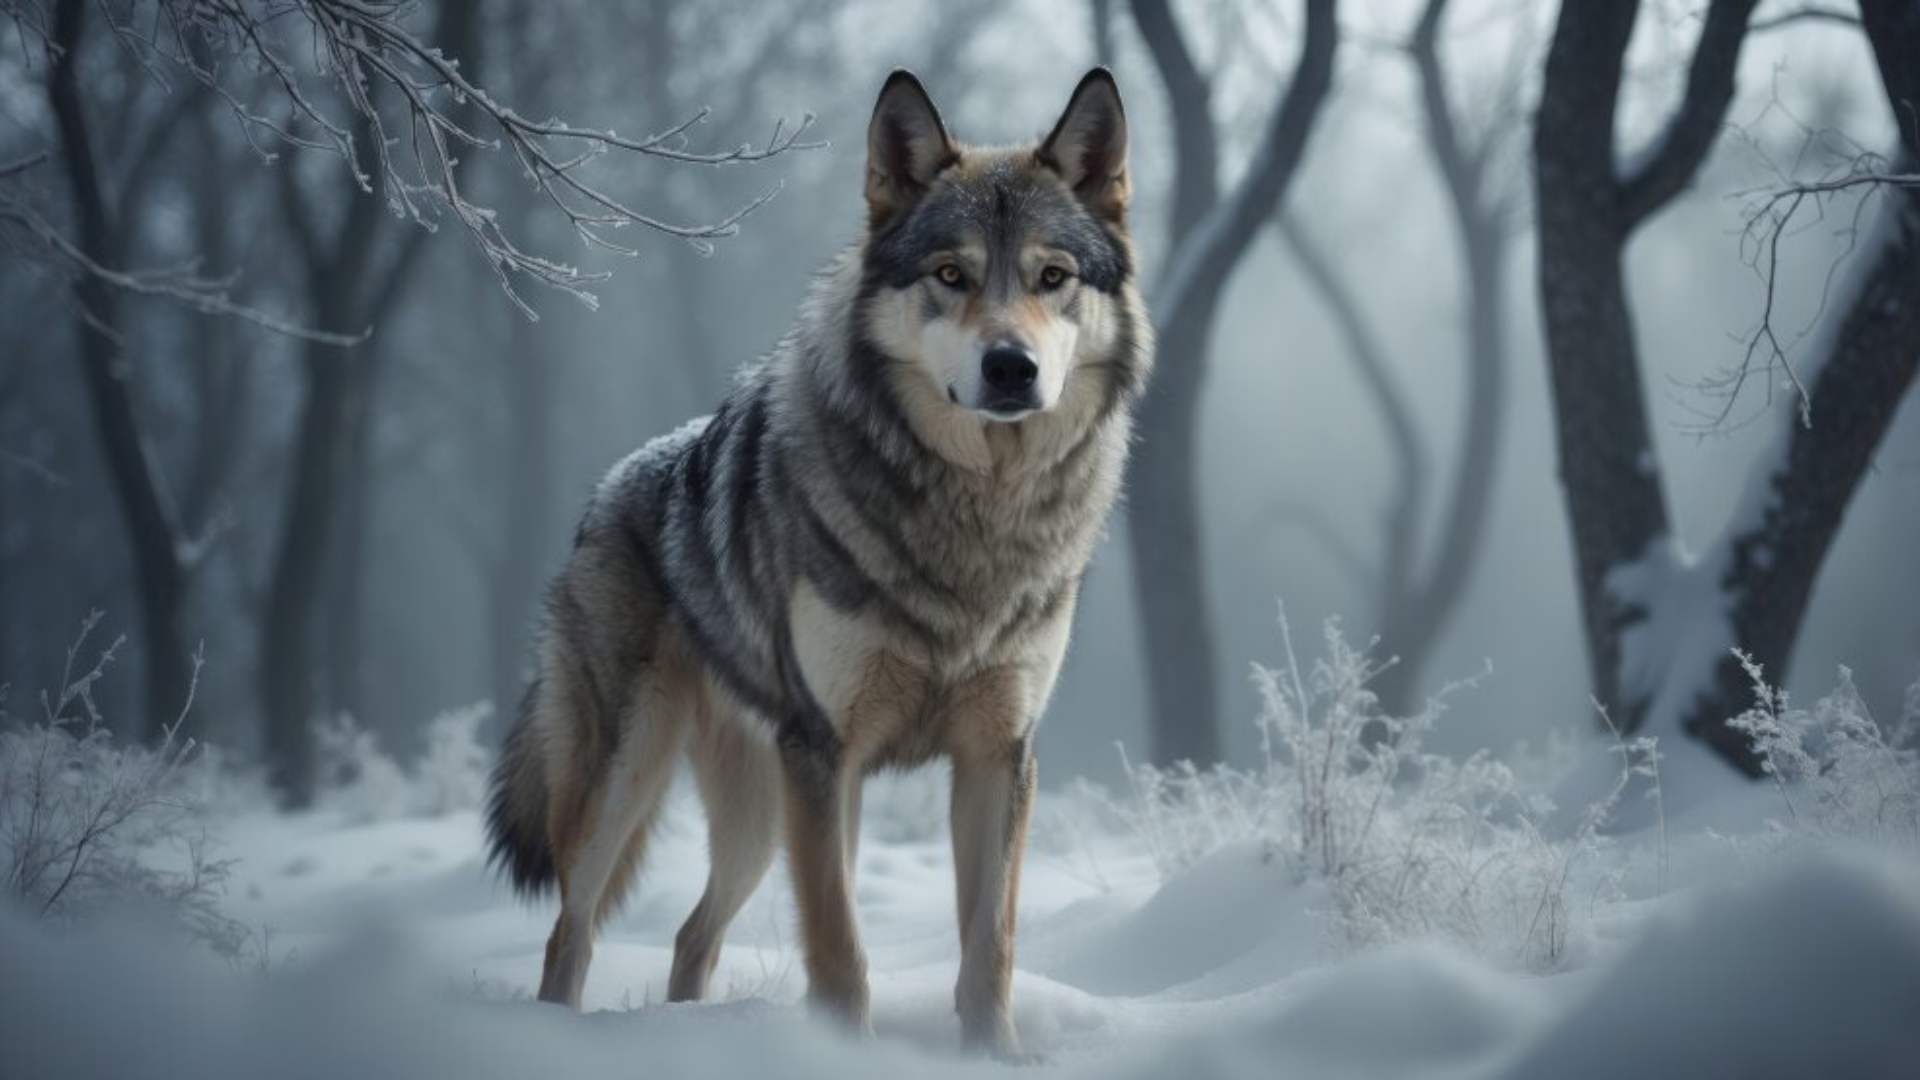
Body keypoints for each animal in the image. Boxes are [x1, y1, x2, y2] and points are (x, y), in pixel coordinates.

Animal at [486, 66, 1150, 1058]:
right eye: (950, 275)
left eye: (1052, 277)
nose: (1010, 368)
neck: (976, 522)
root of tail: (607, 488)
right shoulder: (827, 754)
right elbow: (838, 949)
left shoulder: (998, 755)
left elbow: (988, 946)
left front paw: (995, 1057)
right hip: (642, 782)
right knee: (571, 933)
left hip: (759, 820)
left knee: (690, 934)